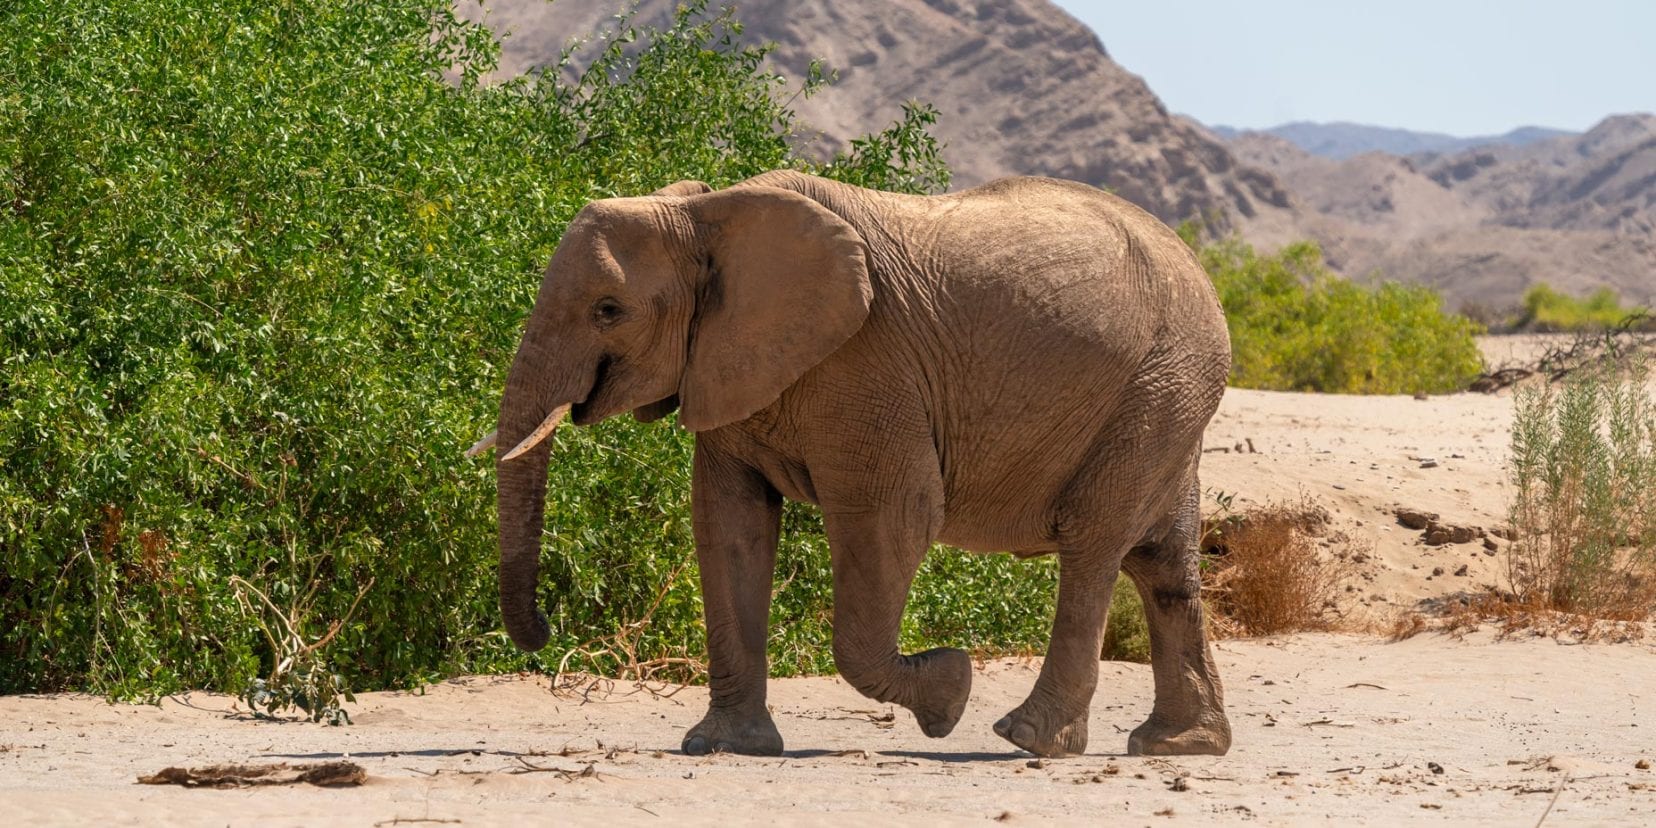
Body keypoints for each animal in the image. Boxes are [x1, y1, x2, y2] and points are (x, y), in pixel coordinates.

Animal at [481, 170, 1233, 759]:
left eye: (608, 310)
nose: (544, 631)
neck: (709, 213)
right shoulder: (731, 361)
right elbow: (729, 525)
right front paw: (723, 746)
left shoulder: (867, 364)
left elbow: (893, 515)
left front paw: (949, 692)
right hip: (1167, 396)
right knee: (1163, 563)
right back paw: (1179, 745)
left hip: (1160, 384)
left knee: (1093, 542)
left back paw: (1029, 739)